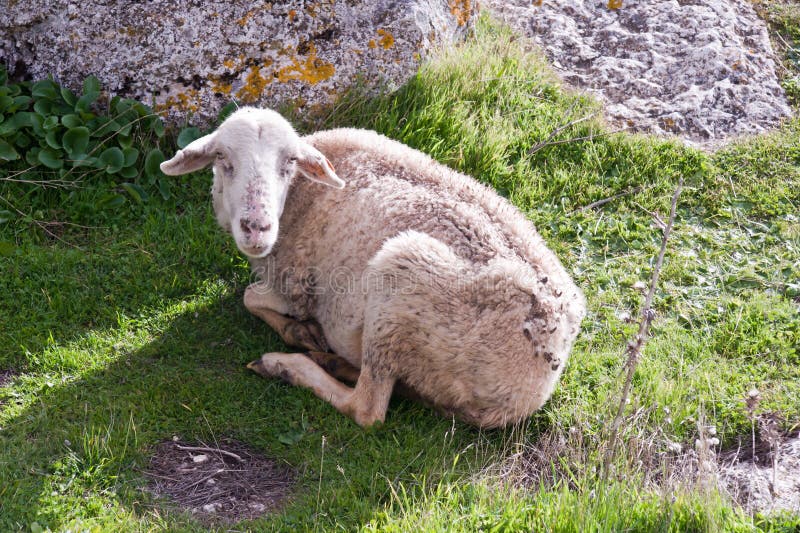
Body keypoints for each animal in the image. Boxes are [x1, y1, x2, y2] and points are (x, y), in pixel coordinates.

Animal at [161, 107, 586, 429]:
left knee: (367, 409)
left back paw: (286, 365)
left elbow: (251, 297)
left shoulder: (295, 285)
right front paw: (303, 333)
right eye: (223, 160)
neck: (304, 194)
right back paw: (330, 359)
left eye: (290, 163)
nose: (256, 227)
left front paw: (296, 331)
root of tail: (526, 391)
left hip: (400, 284)